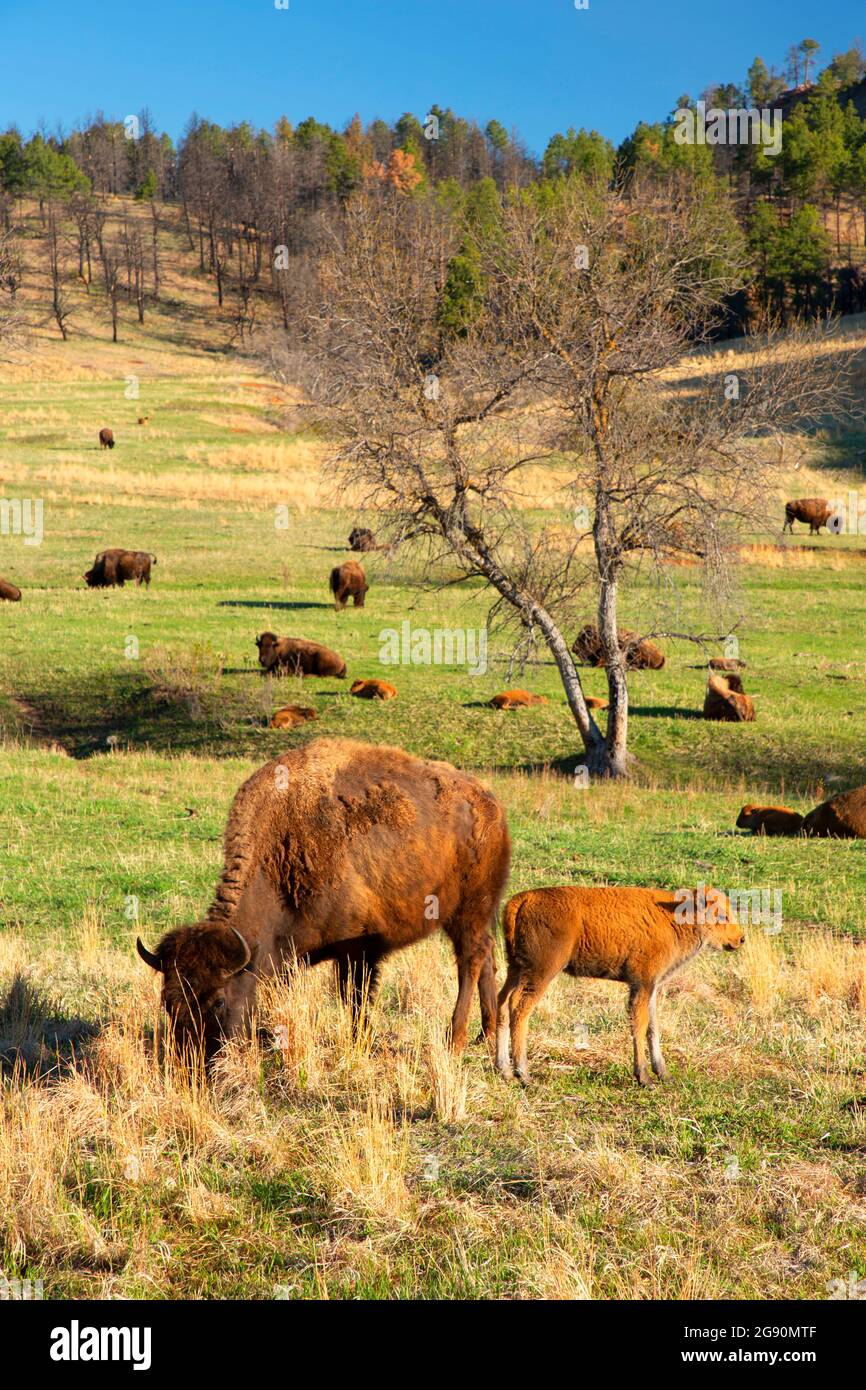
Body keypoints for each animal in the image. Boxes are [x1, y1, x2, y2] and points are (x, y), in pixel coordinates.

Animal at [136, 738, 511, 1061]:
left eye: (217, 1001)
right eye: (168, 1002)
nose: (191, 1060)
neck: (278, 857)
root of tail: (490, 804)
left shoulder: (358, 950)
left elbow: (355, 999)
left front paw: (358, 1044)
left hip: (468, 912)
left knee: (470, 959)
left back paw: (455, 1039)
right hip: (474, 916)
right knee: (487, 956)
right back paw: (487, 1033)